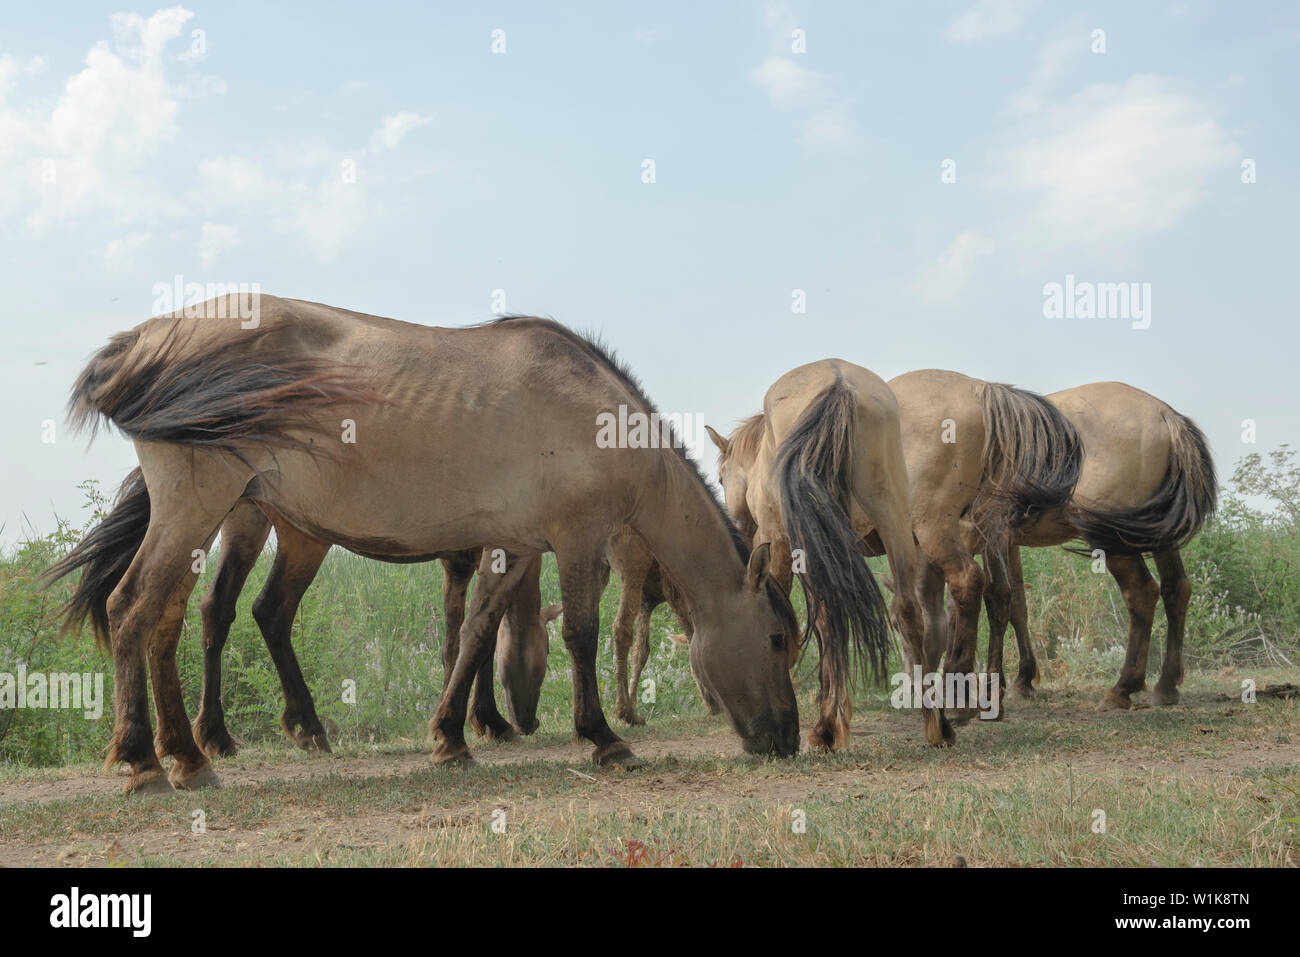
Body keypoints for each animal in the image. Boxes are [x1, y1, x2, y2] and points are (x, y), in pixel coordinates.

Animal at [54, 294, 801, 794]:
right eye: (775, 640)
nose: (791, 739)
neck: (601, 417)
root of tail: (145, 338)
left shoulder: (515, 547)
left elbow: (474, 632)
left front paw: (451, 737)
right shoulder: (578, 541)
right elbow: (581, 636)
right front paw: (603, 737)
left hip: (209, 518)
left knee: (169, 618)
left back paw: (189, 755)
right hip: (202, 507)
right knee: (134, 609)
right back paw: (146, 760)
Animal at [980, 382, 1216, 708]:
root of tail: (1165, 414)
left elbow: (996, 600)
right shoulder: (1008, 542)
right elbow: (1017, 605)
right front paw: (1023, 680)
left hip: (1113, 537)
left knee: (1142, 593)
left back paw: (1122, 688)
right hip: (1157, 531)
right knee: (1176, 588)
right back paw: (1165, 686)